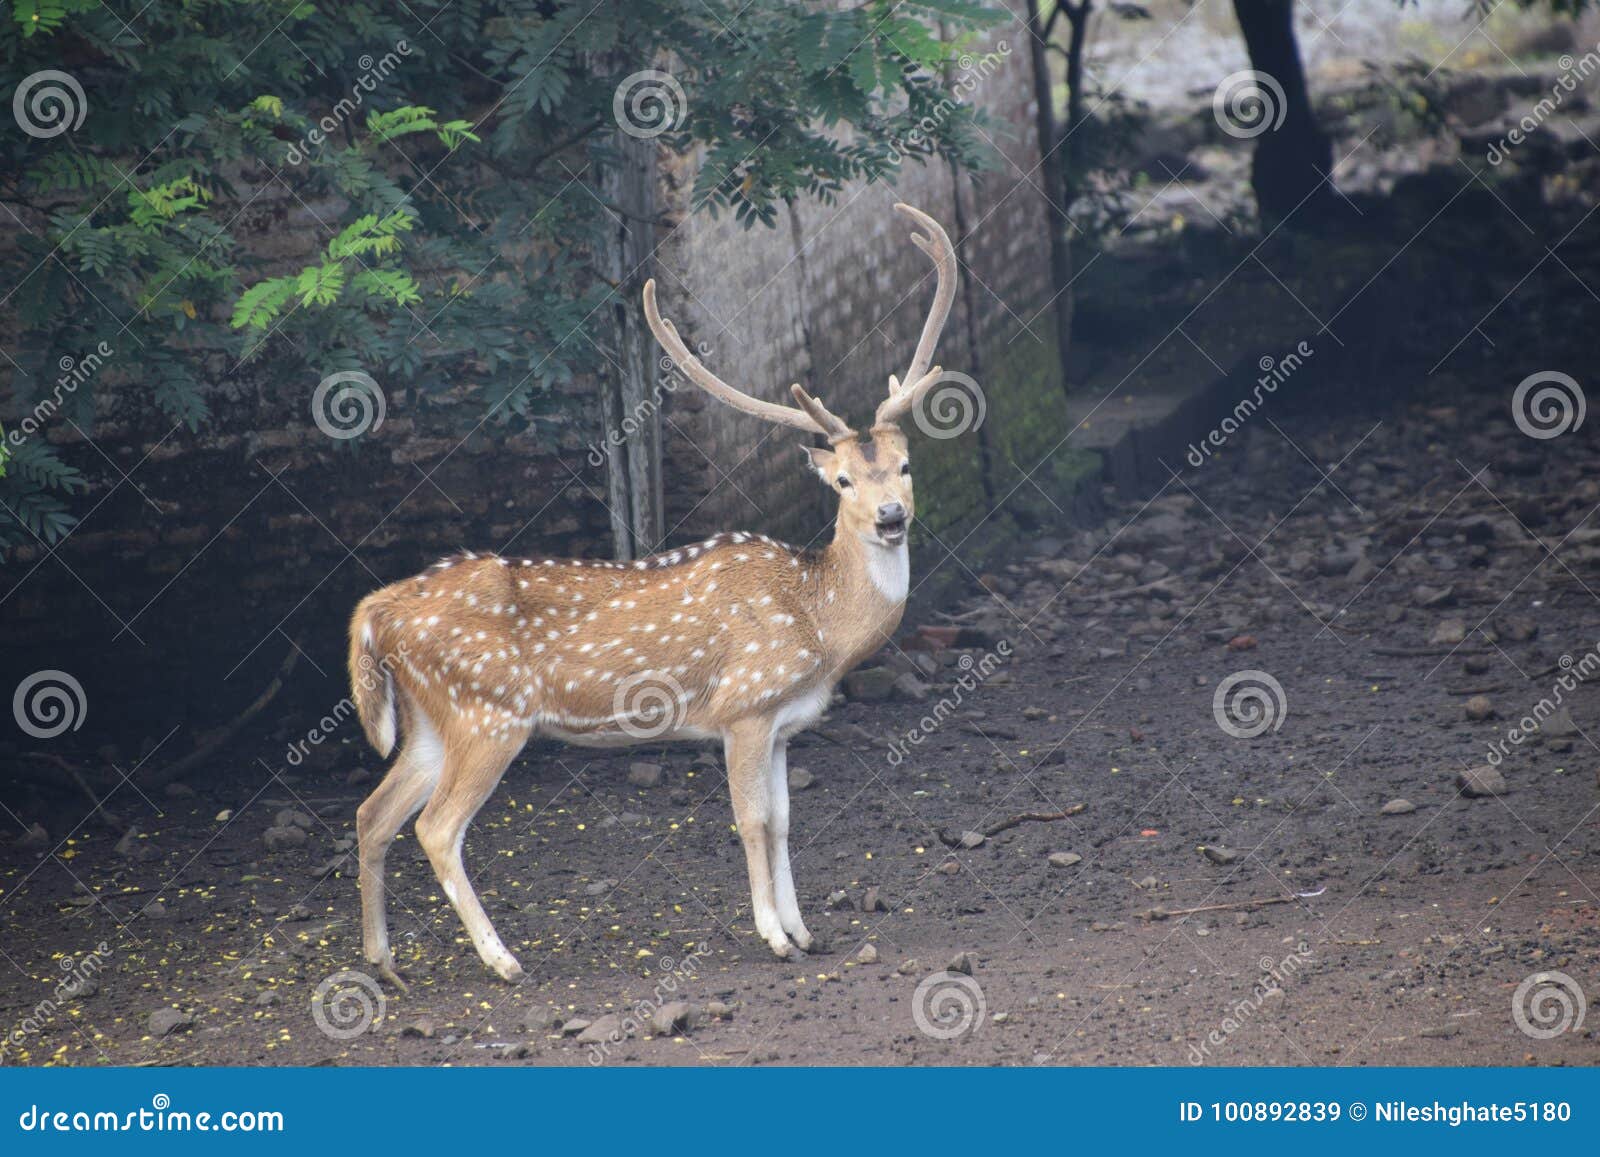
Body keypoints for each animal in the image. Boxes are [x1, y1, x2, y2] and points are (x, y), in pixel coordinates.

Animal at [348, 202, 961, 987]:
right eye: (843, 480)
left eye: (906, 466)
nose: (890, 518)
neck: (818, 623)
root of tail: (377, 611)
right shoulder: (742, 707)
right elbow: (752, 821)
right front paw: (774, 936)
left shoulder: (784, 725)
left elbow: (785, 819)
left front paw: (807, 931)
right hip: (488, 710)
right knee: (436, 826)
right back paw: (504, 961)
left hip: (431, 719)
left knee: (373, 813)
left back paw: (384, 962)